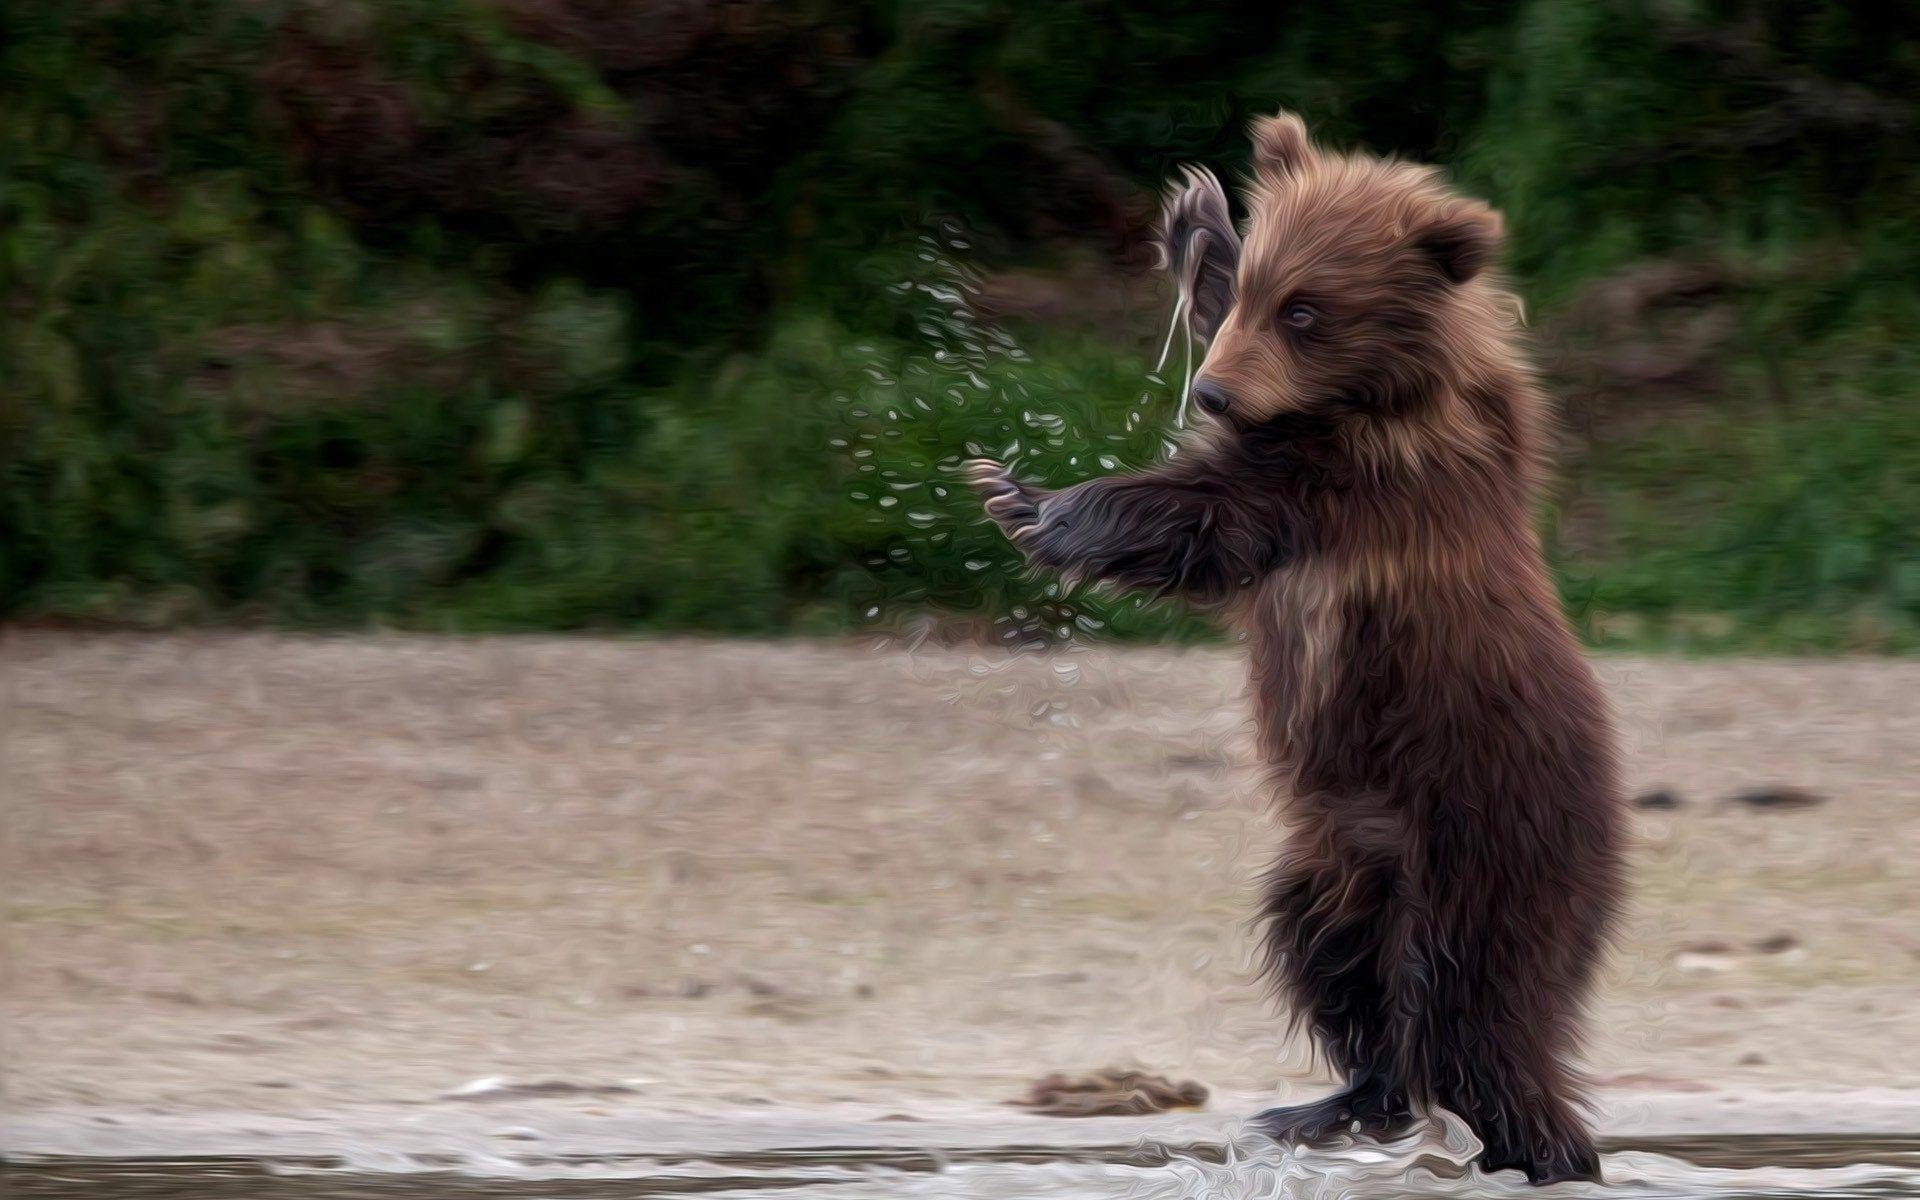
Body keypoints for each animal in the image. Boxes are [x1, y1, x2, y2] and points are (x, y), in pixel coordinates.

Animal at [968, 111, 1625, 1186]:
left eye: (1309, 310)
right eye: (1269, 294)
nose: (1212, 394)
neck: (1370, 398)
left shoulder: (1368, 488)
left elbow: (1215, 512)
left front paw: (1029, 501)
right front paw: (1198, 223)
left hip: (1478, 828)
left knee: (1466, 1002)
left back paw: (1532, 1143)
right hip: (1341, 856)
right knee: (1329, 958)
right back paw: (1335, 1103)